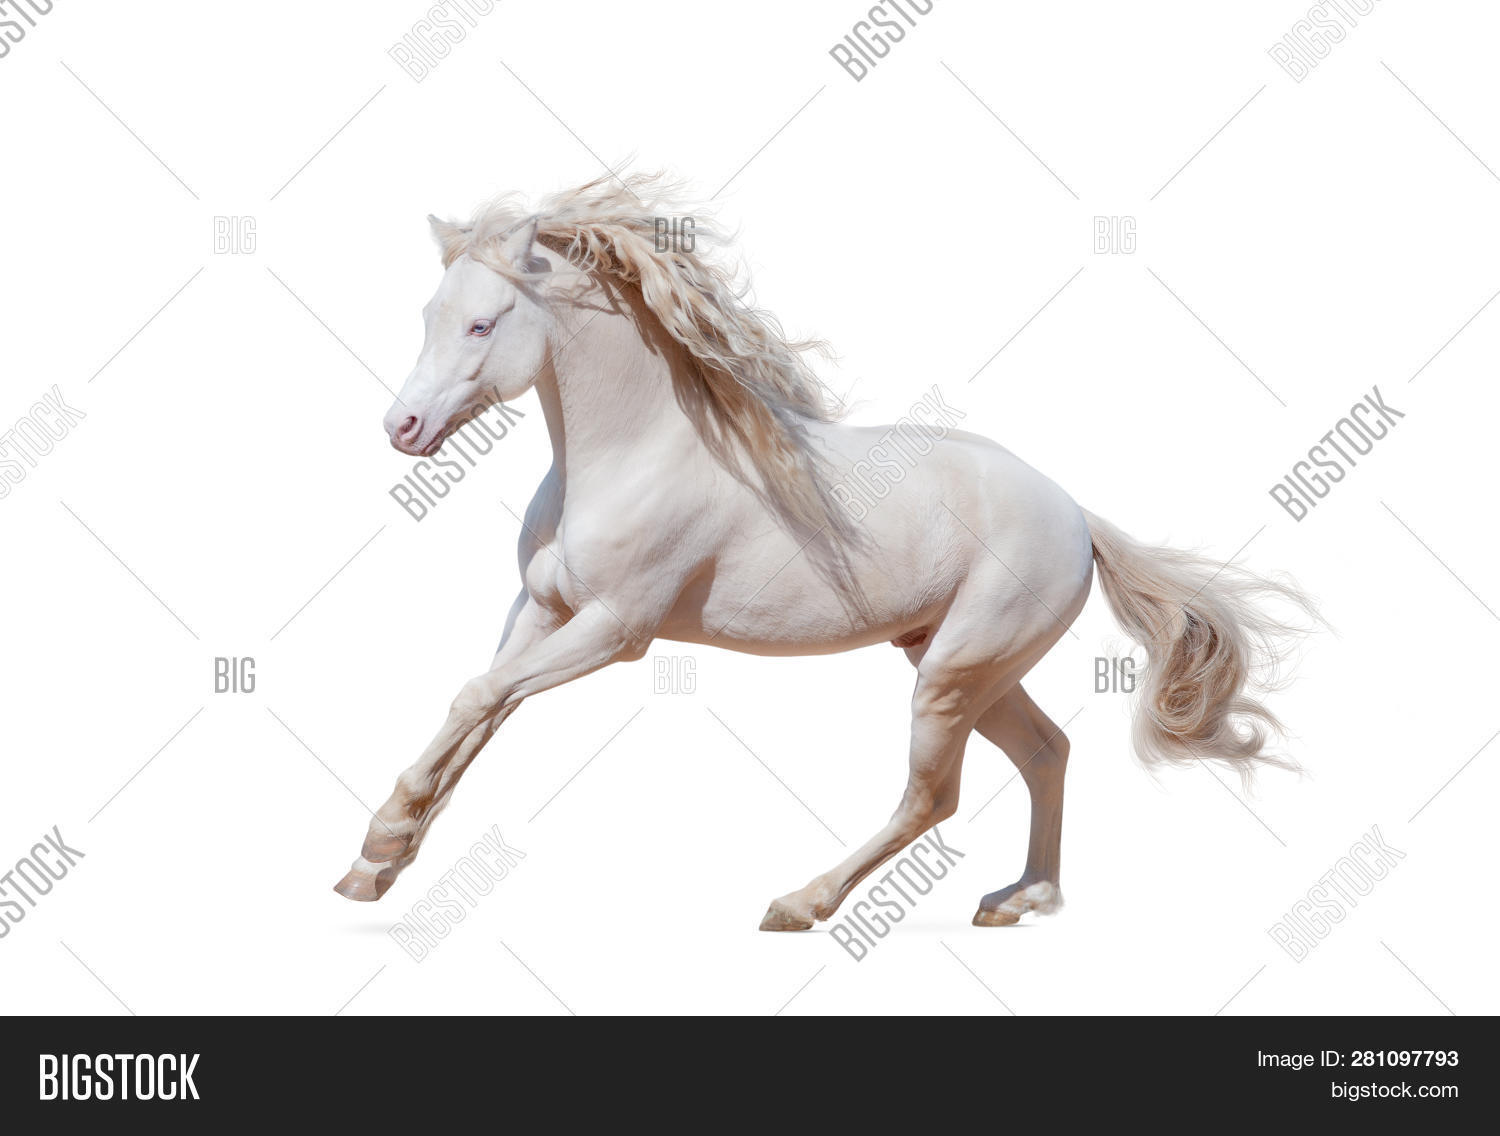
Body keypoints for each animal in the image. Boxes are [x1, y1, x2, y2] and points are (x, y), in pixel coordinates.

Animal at [334, 173, 1312, 930]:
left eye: (483, 324)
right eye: (430, 313)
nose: (402, 428)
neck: (628, 458)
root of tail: (1076, 515)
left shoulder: (616, 631)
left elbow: (479, 697)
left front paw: (382, 841)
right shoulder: (542, 611)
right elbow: (480, 709)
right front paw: (379, 864)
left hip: (952, 673)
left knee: (935, 796)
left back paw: (800, 903)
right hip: (965, 664)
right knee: (1046, 753)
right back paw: (1020, 900)